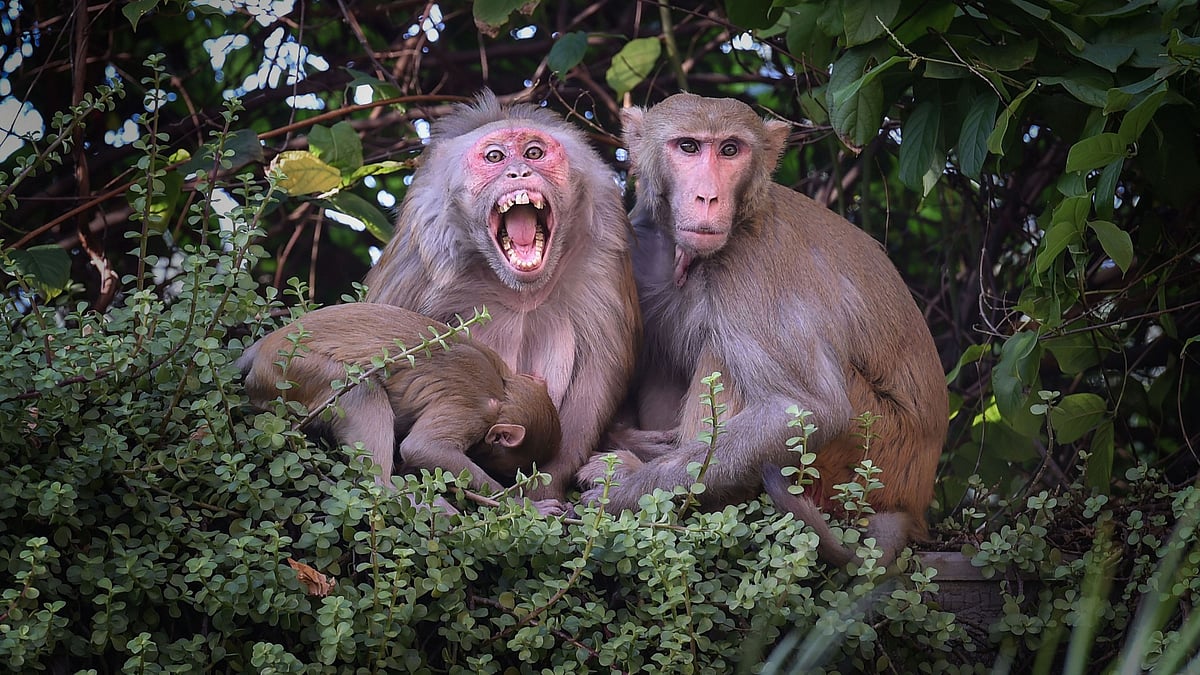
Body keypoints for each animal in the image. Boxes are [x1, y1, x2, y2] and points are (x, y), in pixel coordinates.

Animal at [238, 303, 562, 507]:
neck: (504, 387)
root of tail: (265, 347)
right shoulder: (473, 412)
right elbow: (423, 447)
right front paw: (517, 503)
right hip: (294, 371)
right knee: (360, 391)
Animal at [362, 91, 641, 503]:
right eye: (495, 157)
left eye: (534, 153)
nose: (519, 172)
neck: (518, 289)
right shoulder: (424, 252)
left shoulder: (604, 247)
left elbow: (599, 371)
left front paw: (545, 492)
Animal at [578, 93, 947, 566]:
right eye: (688, 147)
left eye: (730, 150)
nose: (708, 197)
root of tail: (913, 502)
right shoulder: (635, 251)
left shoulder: (749, 265)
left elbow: (803, 408)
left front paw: (622, 492)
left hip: (870, 456)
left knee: (724, 358)